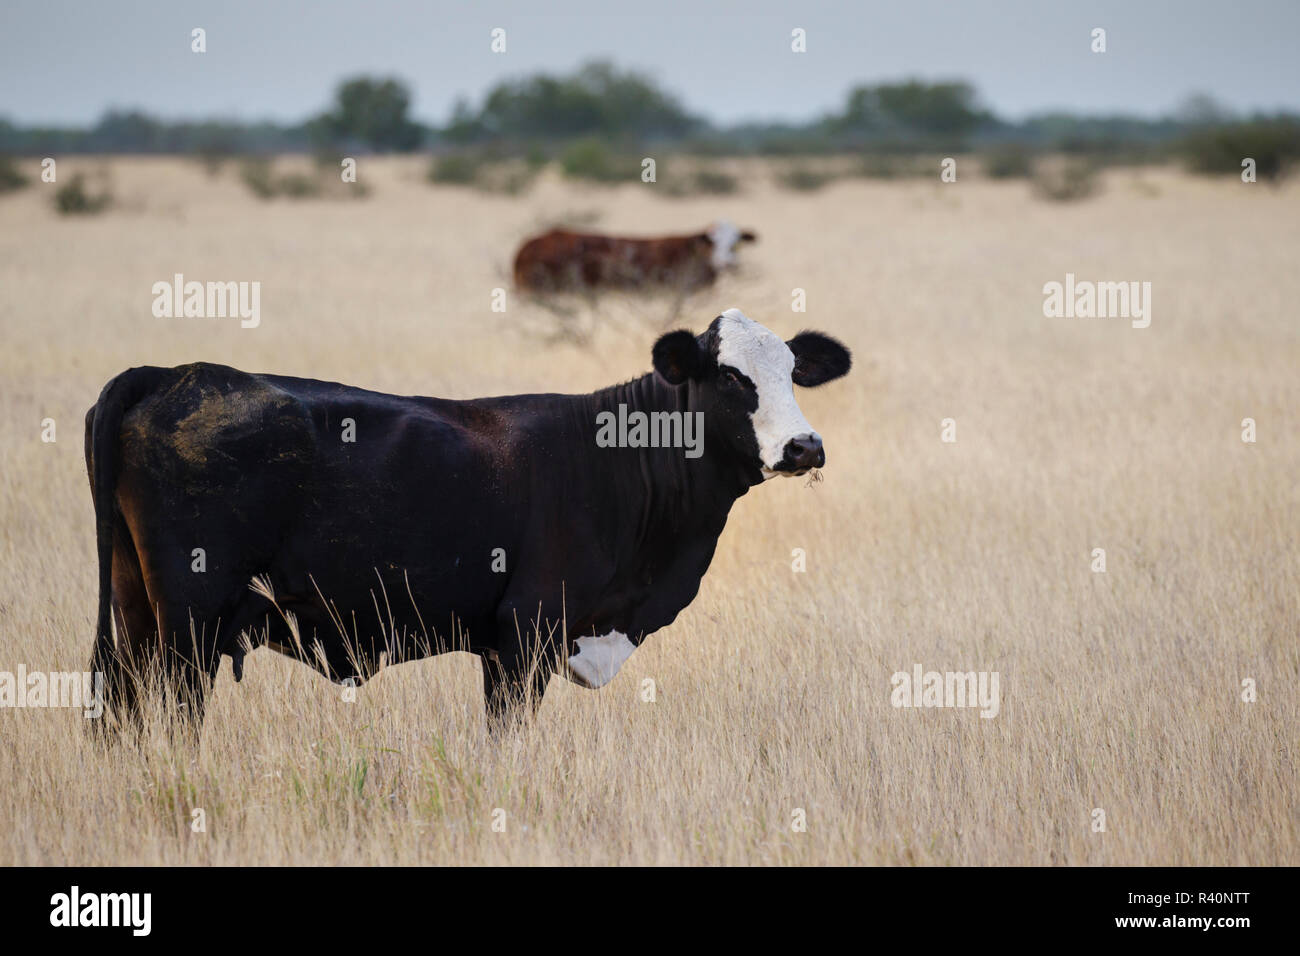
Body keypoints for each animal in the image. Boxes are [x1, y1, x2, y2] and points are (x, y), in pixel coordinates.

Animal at [85, 308, 850, 735]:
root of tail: (170, 374)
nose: (804, 447)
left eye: (792, 373)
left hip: (136, 611)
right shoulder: (525, 634)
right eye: (731, 378)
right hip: (190, 622)